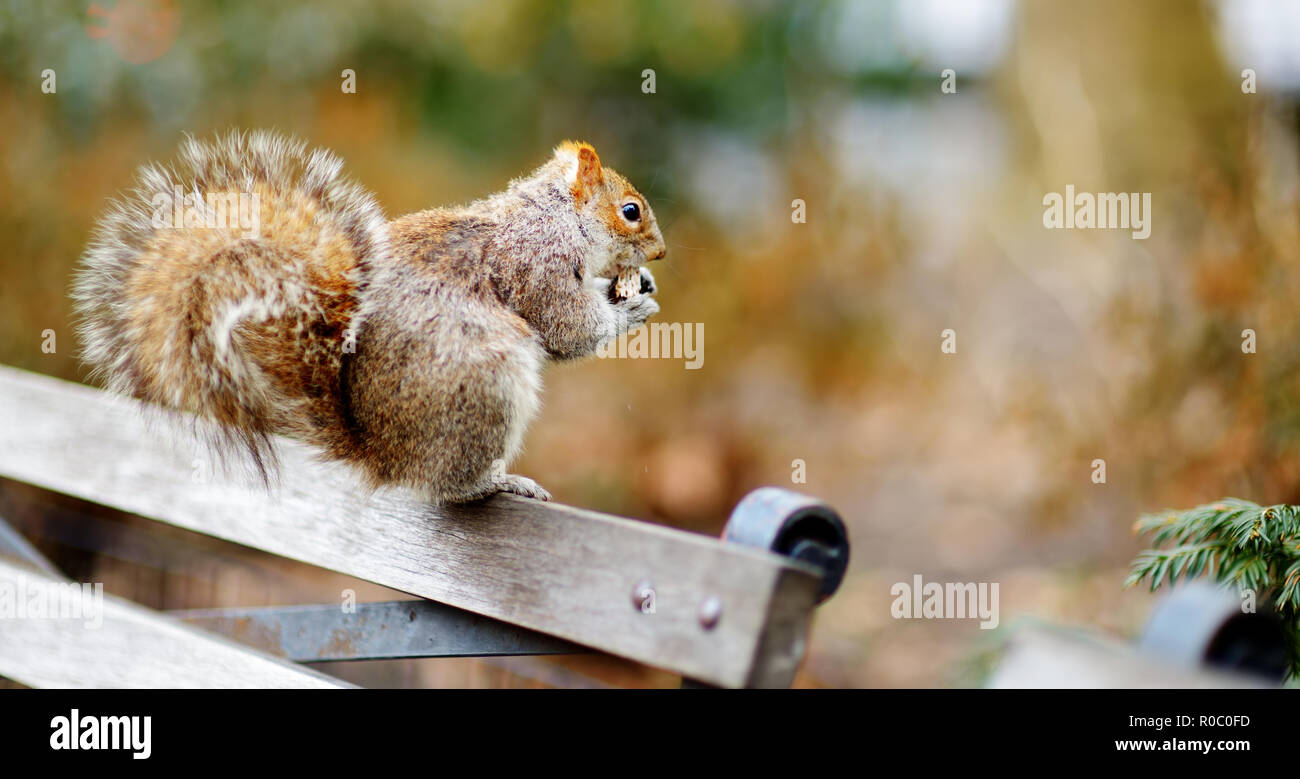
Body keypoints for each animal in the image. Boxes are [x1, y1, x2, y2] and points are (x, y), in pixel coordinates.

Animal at [72, 131, 665, 502]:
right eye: (630, 211)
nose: (659, 254)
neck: (556, 215)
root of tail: (381, 457)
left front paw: (635, 287)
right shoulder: (535, 262)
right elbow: (567, 328)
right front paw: (633, 306)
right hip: (487, 383)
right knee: (445, 487)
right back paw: (494, 482)